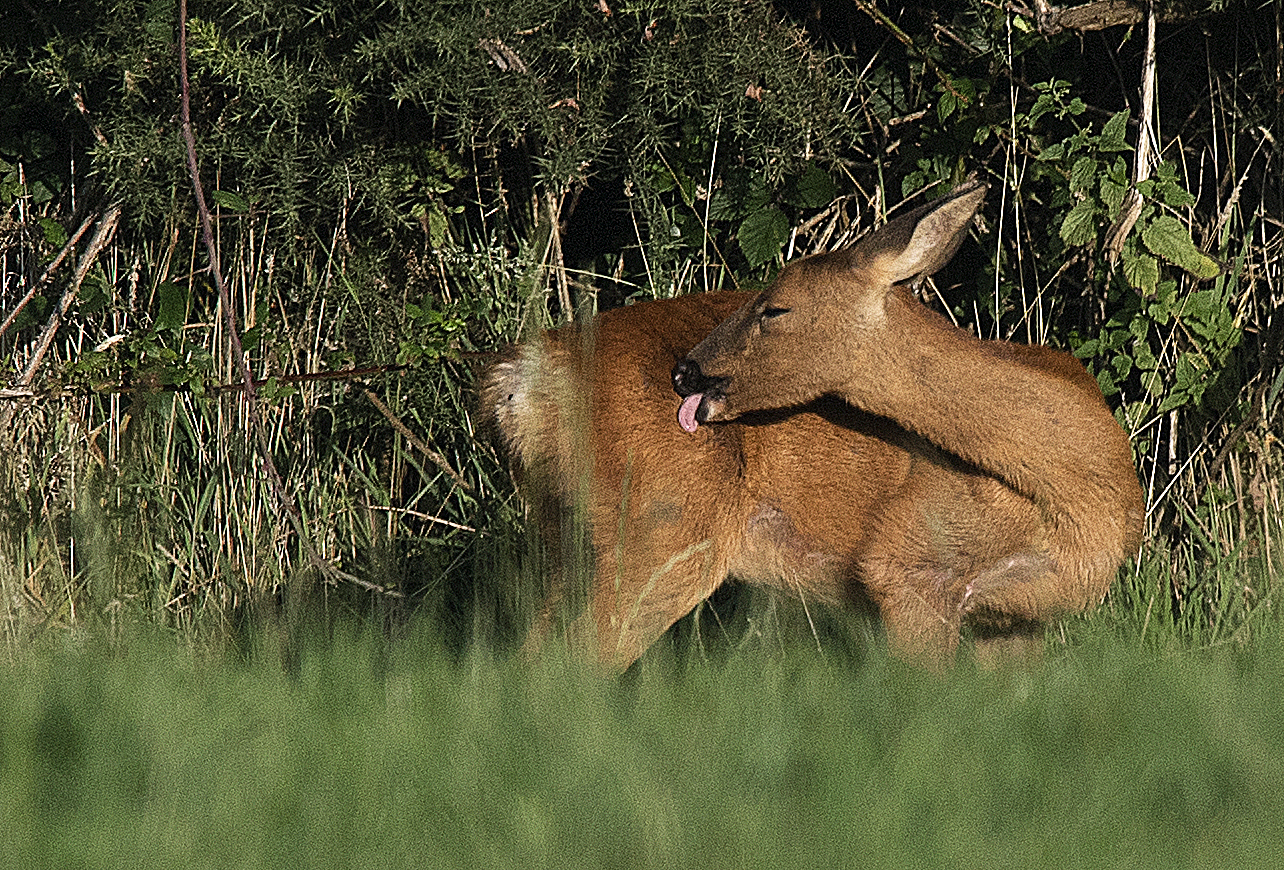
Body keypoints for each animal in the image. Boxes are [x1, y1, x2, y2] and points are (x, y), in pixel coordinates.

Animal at [481, 181, 1145, 670]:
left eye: (775, 308)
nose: (685, 370)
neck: (1077, 489)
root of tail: (523, 377)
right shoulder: (907, 565)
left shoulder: (1014, 619)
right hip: (661, 529)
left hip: (565, 538)